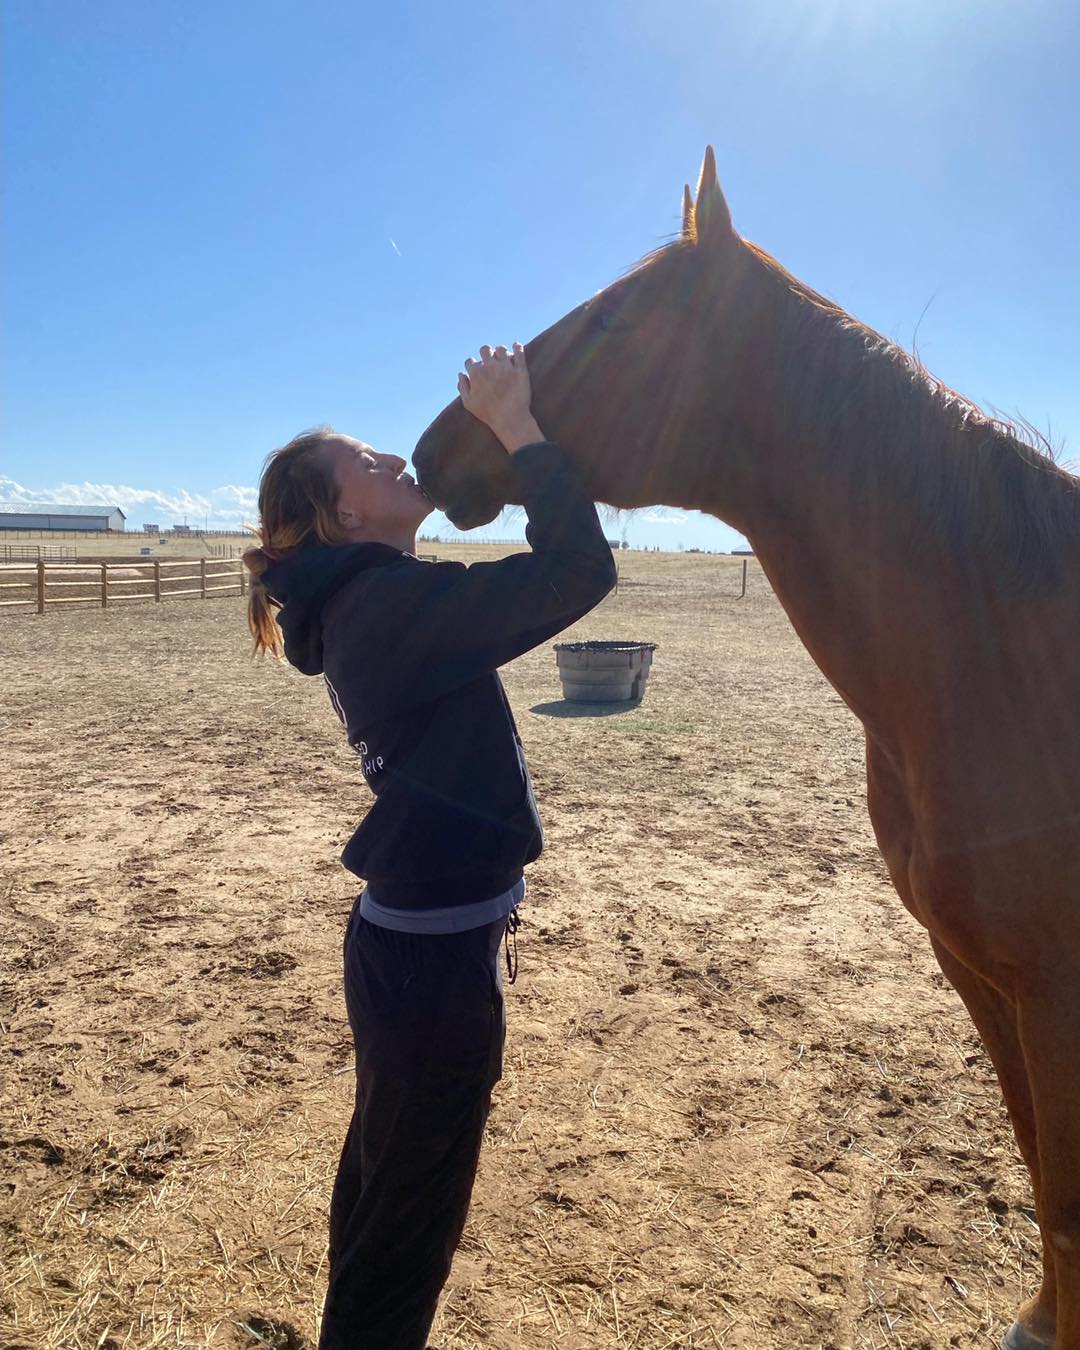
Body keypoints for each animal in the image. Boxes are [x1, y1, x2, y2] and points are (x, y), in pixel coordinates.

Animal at [412, 148, 1080, 1350]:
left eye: (615, 317)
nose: (430, 450)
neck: (1007, 661)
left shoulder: (1055, 991)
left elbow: (1073, 1198)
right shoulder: (985, 975)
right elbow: (1043, 1171)